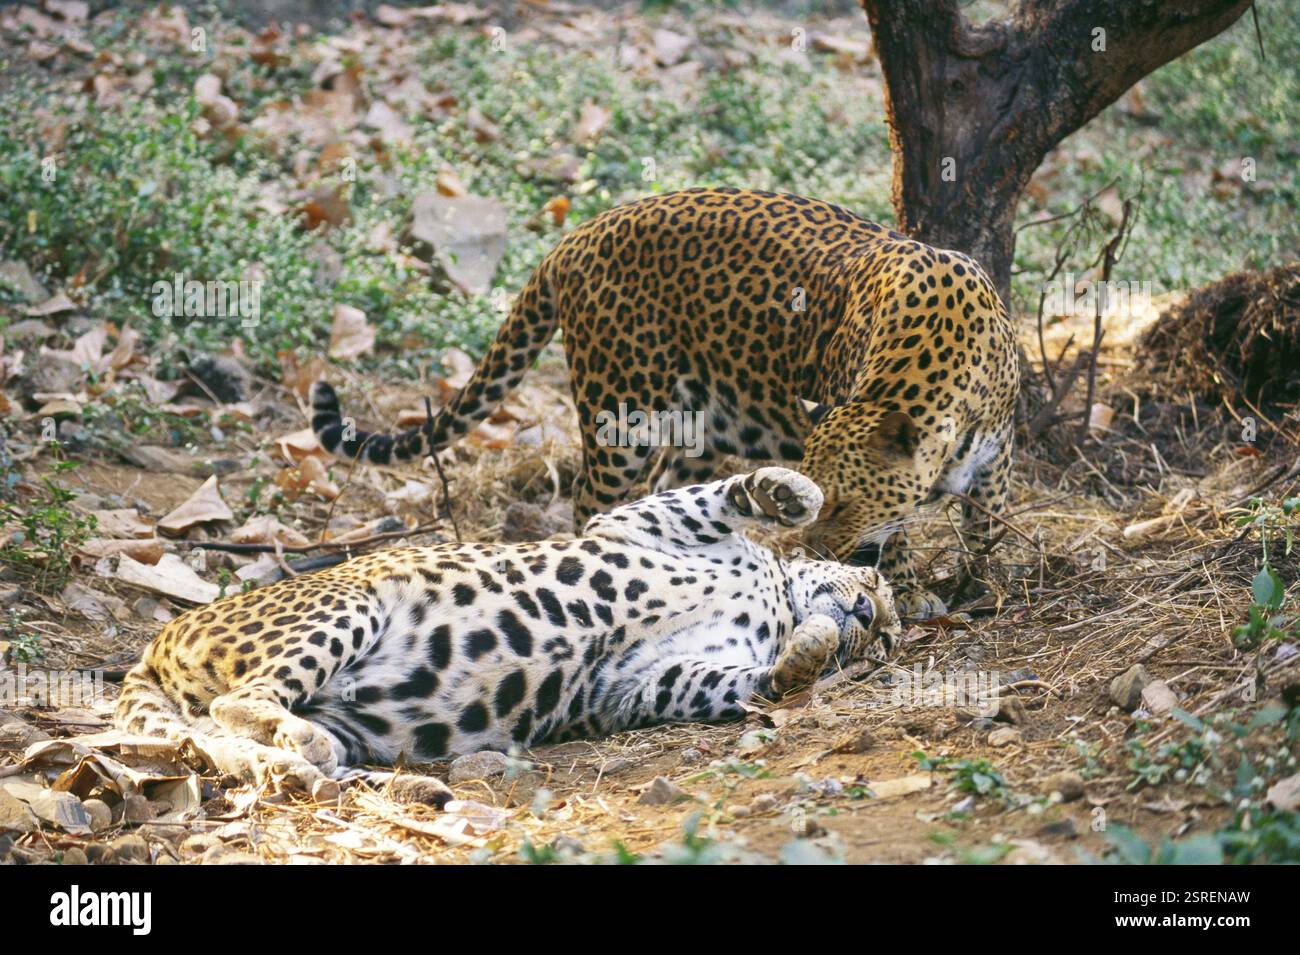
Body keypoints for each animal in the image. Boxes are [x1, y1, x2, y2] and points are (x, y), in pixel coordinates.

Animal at [114, 467, 901, 791]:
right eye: (878, 589)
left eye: (889, 643)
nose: (871, 618)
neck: (774, 601)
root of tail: (153, 645)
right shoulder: (640, 521)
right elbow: (722, 491)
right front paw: (791, 492)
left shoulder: (641, 683)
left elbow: (750, 679)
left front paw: (810, 651)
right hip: (349, 601)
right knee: (240, 698)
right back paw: (297, 745)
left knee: (220, 732)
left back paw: (301, 763)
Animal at [310, 187, 1020, 619]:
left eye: (843, 502)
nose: (817, 553)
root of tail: (576, 235)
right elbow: (895, 532)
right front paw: (909, 587)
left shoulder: (997, 453)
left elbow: (987, 520)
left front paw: (985, 579)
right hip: (623, 409)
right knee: (591, 503)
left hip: (699, 426)